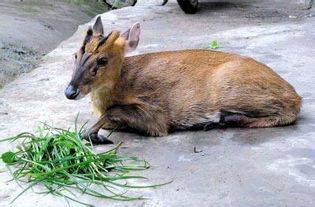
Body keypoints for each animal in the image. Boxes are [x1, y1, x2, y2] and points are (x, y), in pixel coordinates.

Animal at [63, 16, 302, 144]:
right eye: (75, 54)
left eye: (102, 60)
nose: (70, 91)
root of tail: (296, 96)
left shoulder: (155, 114)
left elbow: (114, 111)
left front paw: (95, 135)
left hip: (235, 90)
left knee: (285, 114)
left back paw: (221, 119)